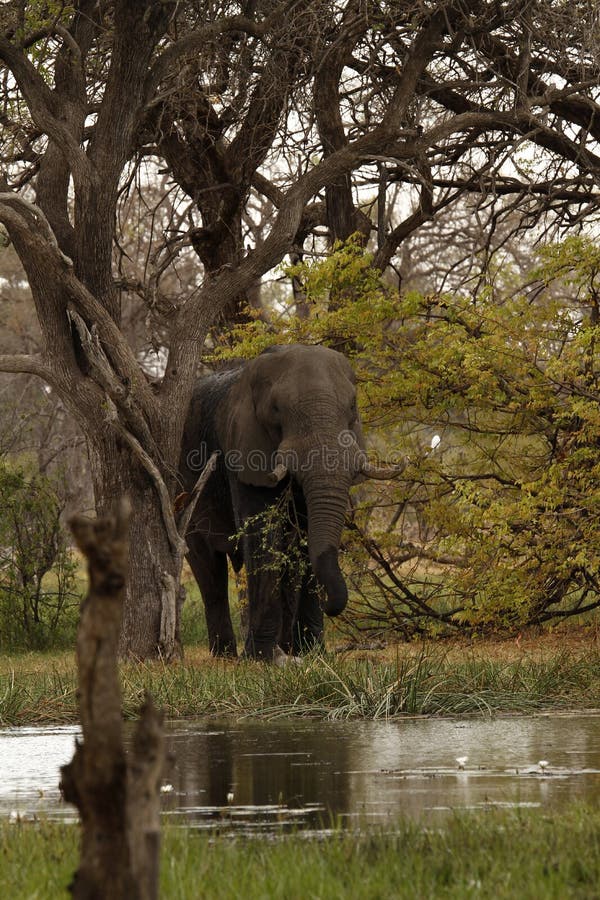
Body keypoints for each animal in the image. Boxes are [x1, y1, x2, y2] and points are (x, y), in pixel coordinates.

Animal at [179, 343, 392, 660]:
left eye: (353, 408)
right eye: (276, 410)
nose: (331, 603)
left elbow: (305, 537)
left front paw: (312, 653)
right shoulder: (241, 447)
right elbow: (263, 532)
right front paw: (264, 658)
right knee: (209, 569)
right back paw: (226, 656)